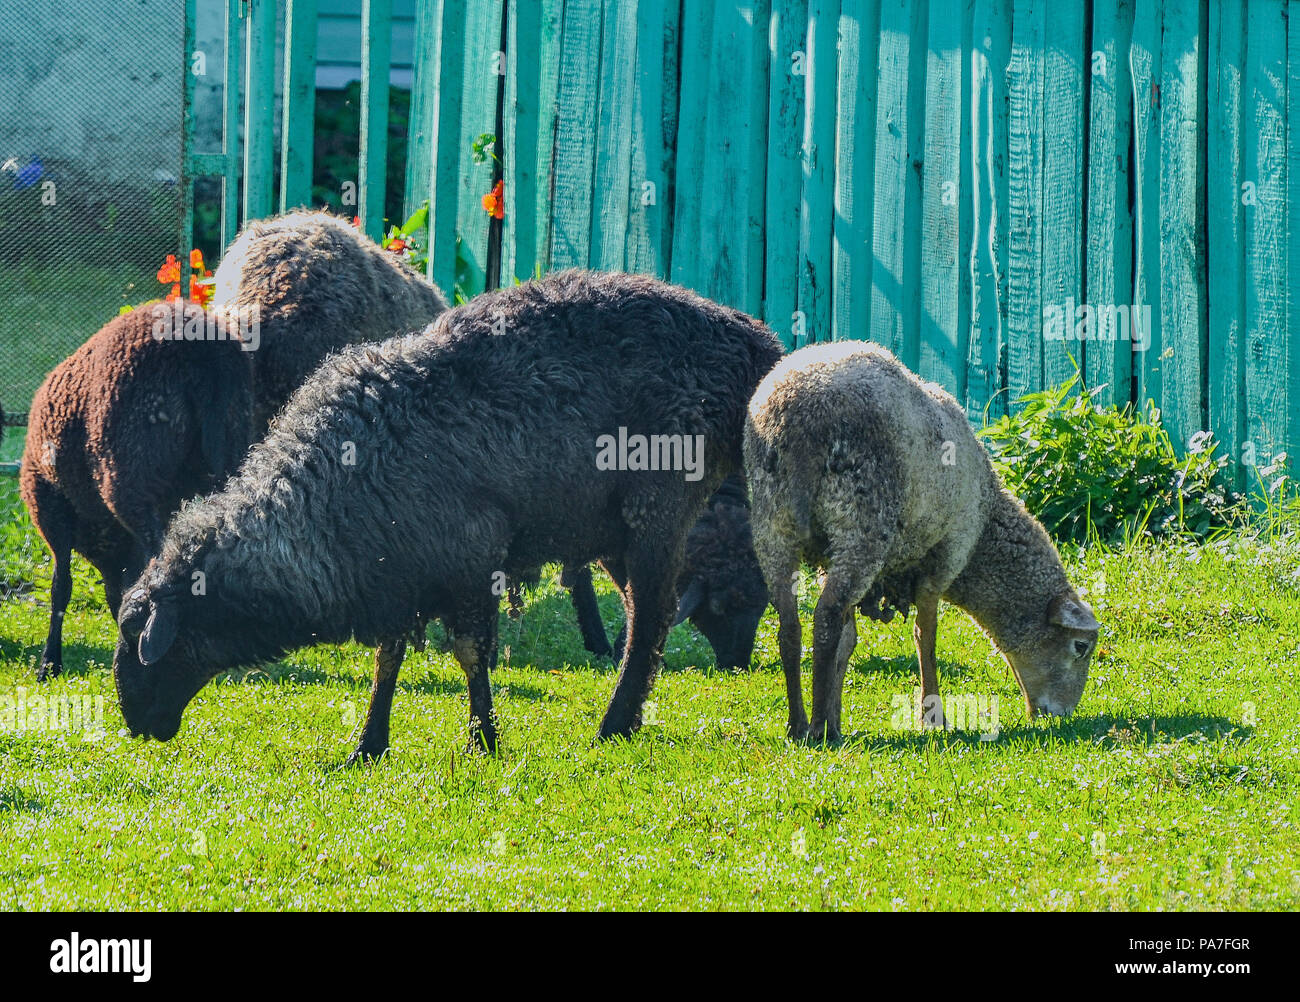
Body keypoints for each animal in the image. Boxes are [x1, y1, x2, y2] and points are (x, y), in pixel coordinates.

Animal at [20, 304, 254, 680]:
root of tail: (204, 350)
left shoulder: (47, 503)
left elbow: (61, 585)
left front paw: (49, 663)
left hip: (133, 473)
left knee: (159, 559)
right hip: (231, 444)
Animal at [112, 270, 784, 757]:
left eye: (147, 640)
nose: (137, 725)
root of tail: (754, 341)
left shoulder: (469, 560)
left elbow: (469, 652)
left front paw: (483, 739)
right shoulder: (395, 570)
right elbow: (386, 660)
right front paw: (368, 746)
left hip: (658, 502)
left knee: (649, 616)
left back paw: (613, 723)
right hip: (614, 526)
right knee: (648, 612)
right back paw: (627, 714)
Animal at [743, 341, 1099, 743]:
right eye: (1080, 647)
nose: (1063, 714)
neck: (986, 527)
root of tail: (800, 412)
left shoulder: (827, 559)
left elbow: (848, 642)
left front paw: (838, 717)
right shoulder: (946, 552)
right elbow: (924, 635)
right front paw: (933, 717)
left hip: (773, 520)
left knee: (790, 625)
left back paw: (798, 725)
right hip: (861, 522)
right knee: (826, 618)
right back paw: (817, 727)